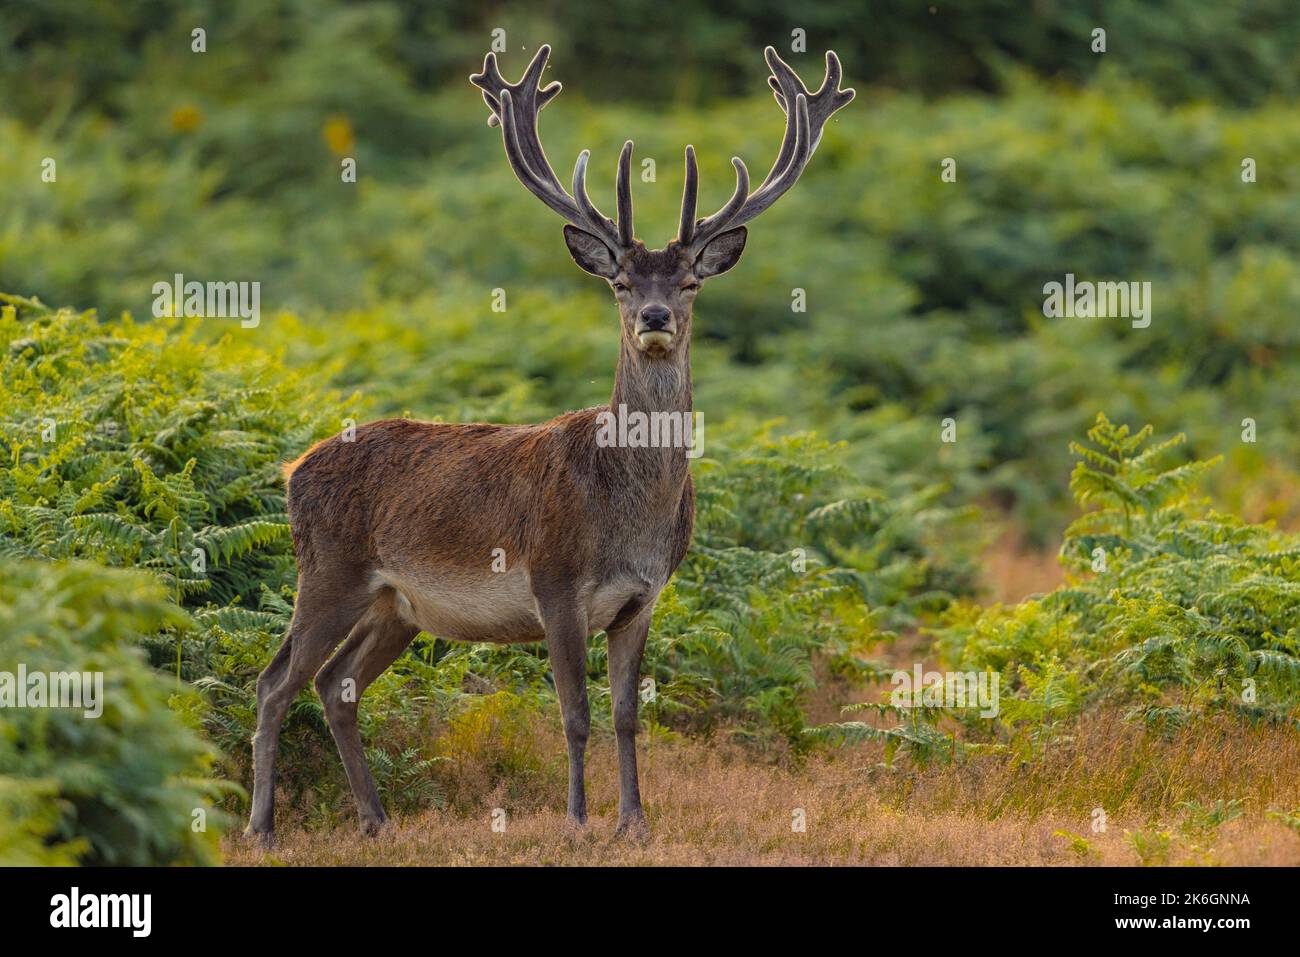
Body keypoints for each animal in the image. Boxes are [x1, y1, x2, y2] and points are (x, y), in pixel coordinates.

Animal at [244, 43, 853, 844]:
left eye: (689, 281)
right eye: (621, 281)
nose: (654, 316)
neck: (627, 510)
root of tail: (292, 468)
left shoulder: (643, 597)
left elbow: (626, 715)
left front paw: (635, 822)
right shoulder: (555, 581)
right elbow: (575, 714)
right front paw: (578, 820)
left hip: (394, 607)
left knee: (334, 683)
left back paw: (378, 822)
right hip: (328, 570)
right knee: (274, 680)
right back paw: (261, 826)